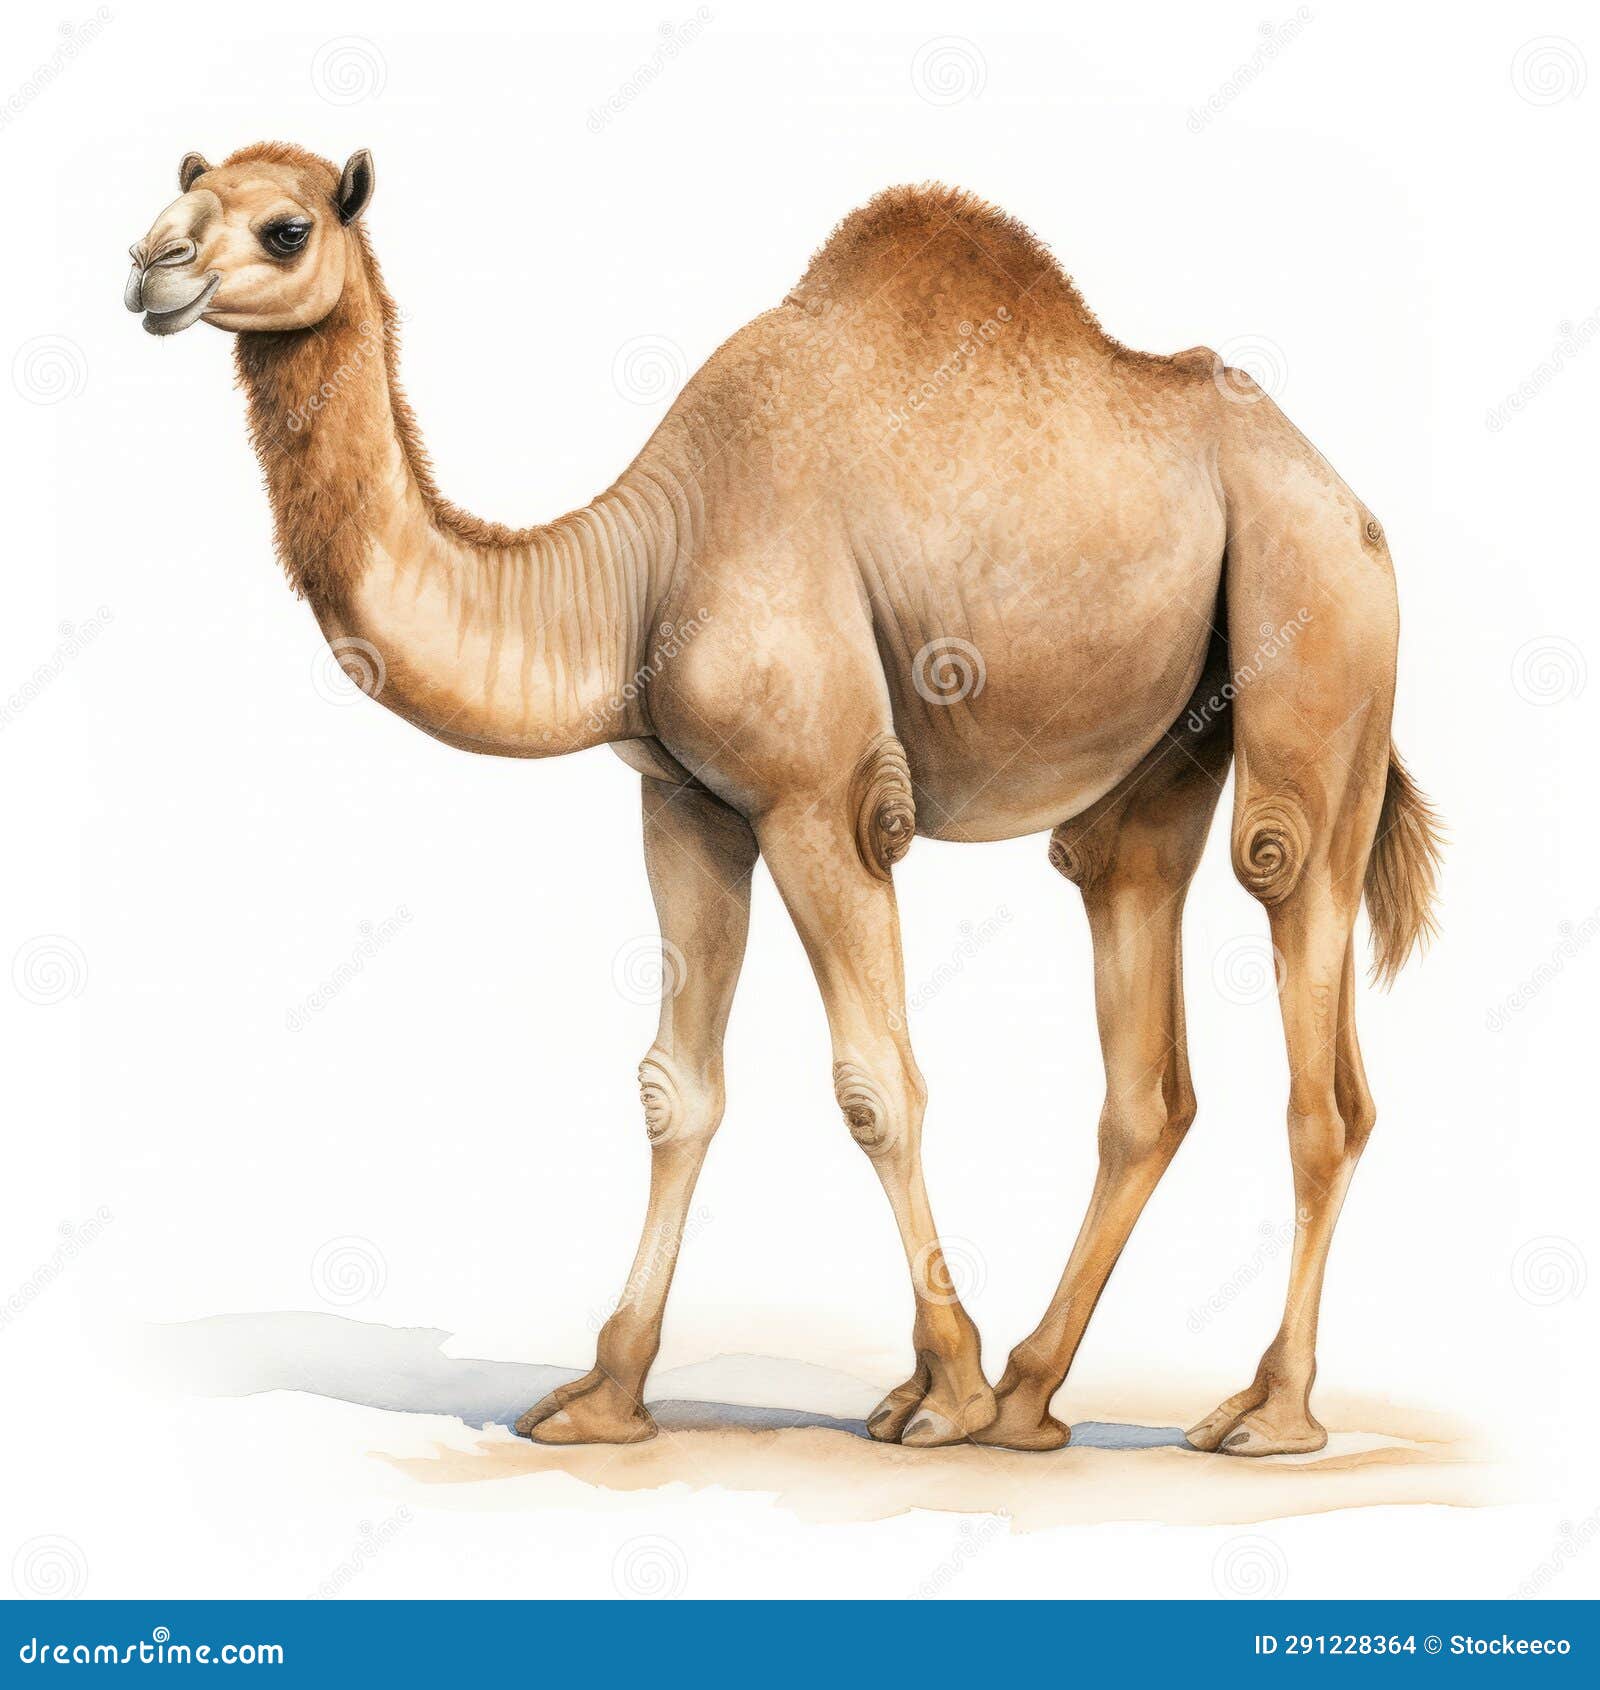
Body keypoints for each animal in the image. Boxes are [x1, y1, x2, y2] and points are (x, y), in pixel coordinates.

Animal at [124, 143, 1441, 1454]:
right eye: (186, 190)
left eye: (286, 228)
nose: (150, 266)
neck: (635, 576)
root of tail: (1345, 498)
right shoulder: (689, 805)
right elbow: (676, 1089)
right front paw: (603, 1394)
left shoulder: (824, 799)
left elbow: (878, 1088)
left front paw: (942, 1390)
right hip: (1163, 744)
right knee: (1140, 1023)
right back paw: (1033, 1397)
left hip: (1312, 605)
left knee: (1301, 973)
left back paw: (1262, 1412)